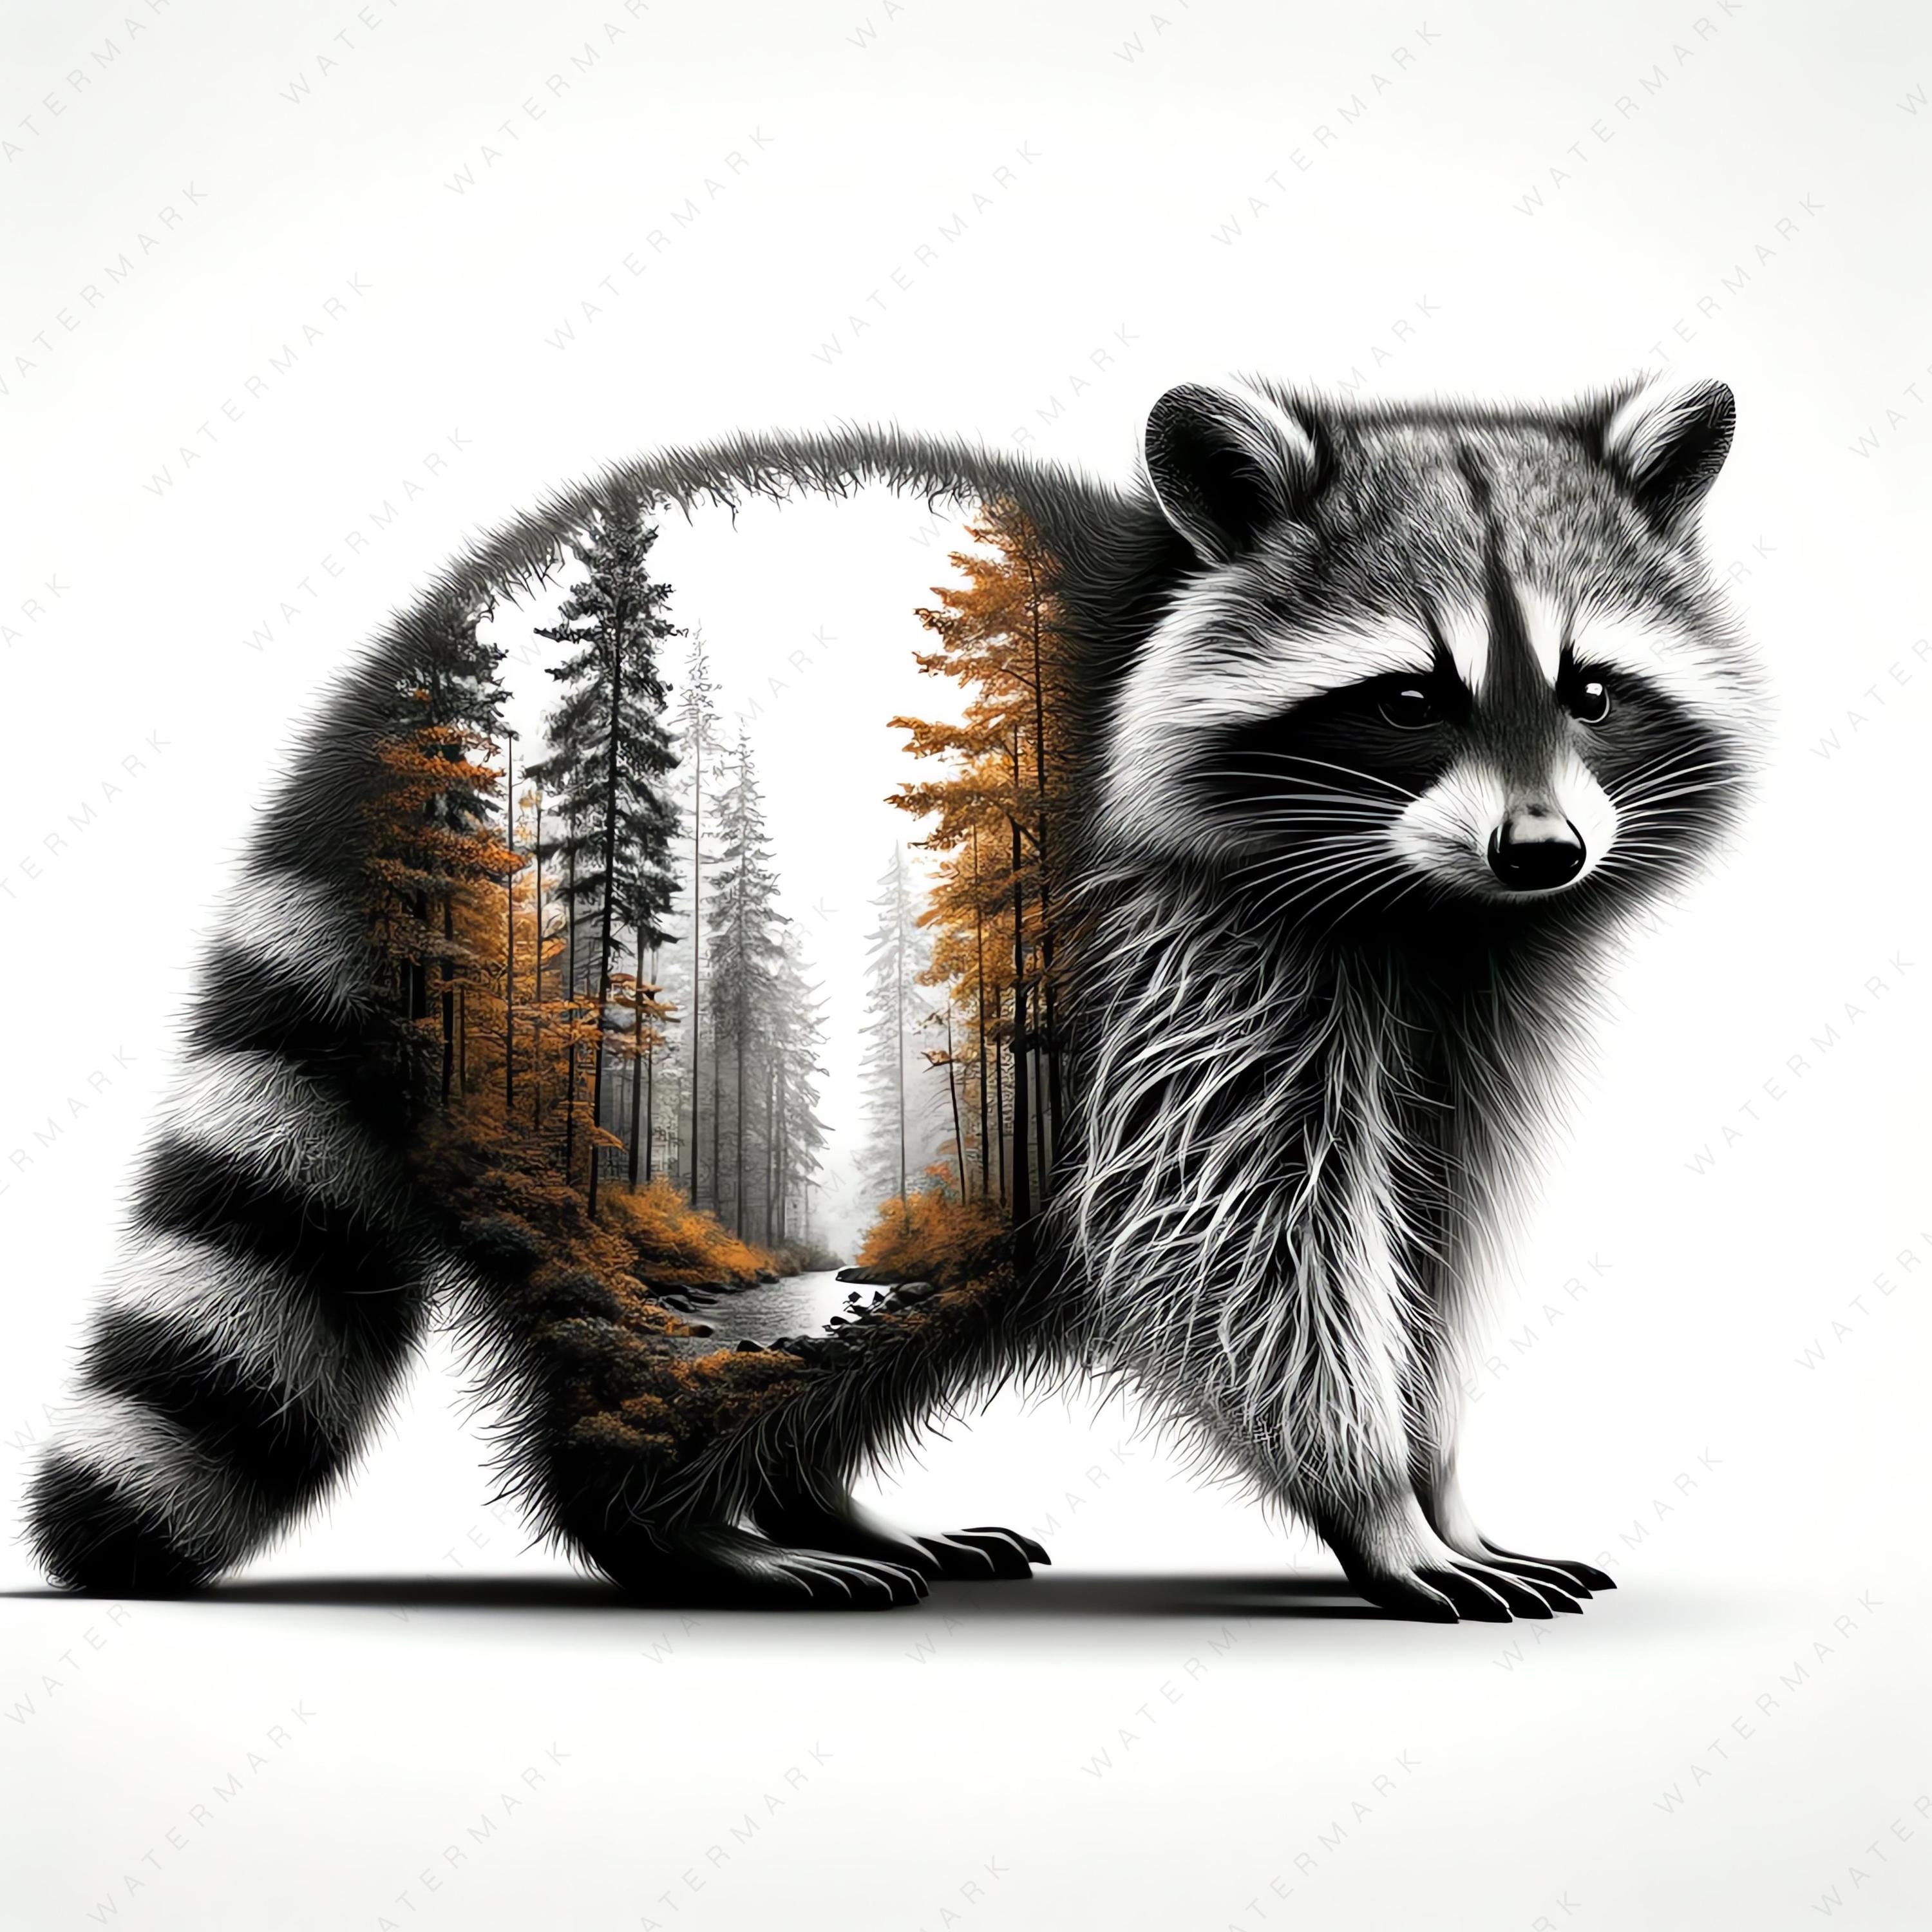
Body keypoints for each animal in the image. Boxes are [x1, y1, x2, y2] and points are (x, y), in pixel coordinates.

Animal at [23, 379, 1758, 1620]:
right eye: (1407, 699)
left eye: (1591, 691)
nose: (1542, 849)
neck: (1422, 904)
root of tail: (374, 704)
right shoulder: (1181, 939)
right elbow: (1213, 1237)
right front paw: (1377, 1503)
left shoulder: (1466, 980)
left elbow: (1428, 1232)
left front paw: (1438, 1466)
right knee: (722, 1341)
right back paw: (666, 1522)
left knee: (933, 1303)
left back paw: (809, 1487)